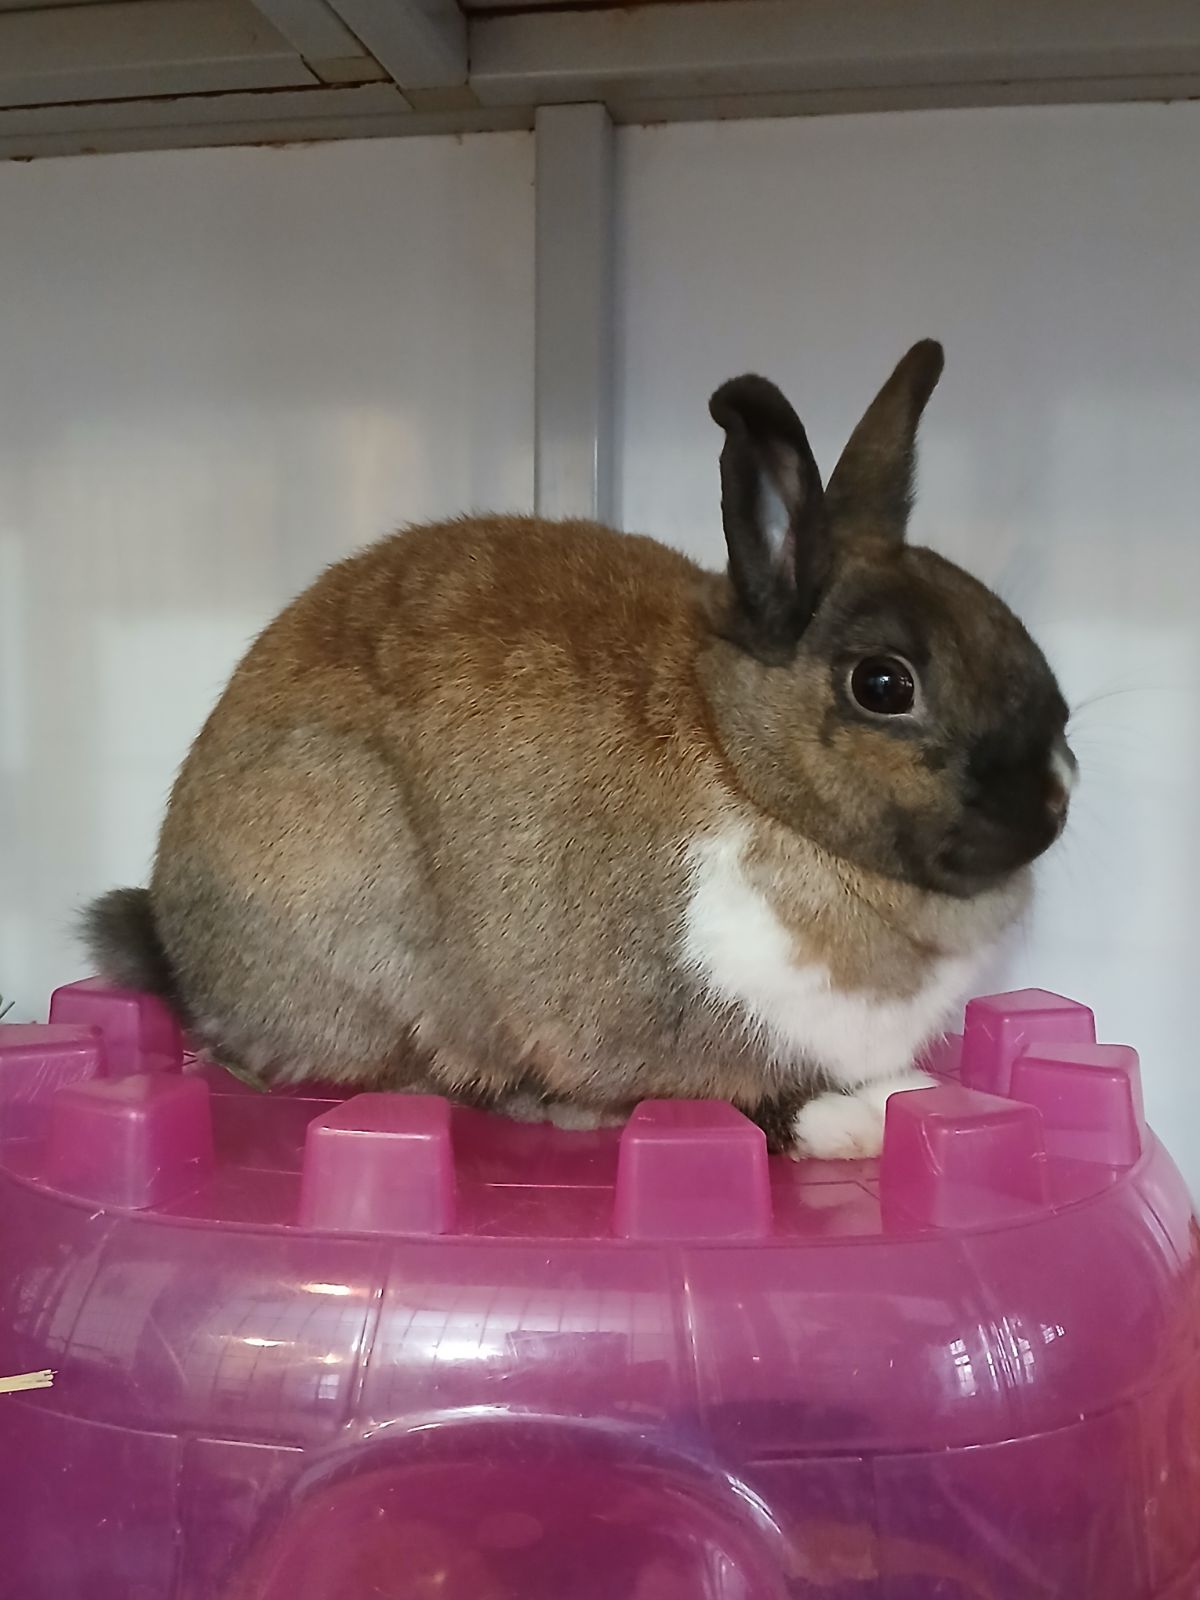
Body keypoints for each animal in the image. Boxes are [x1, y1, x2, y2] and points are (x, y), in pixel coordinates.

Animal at [83, 340, 1075, 1160]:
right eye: (883, 685)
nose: (1053, 799)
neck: (745, 768)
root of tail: (178, 949)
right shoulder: (649, 1032)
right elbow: (740, 1102)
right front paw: (864, 1116)